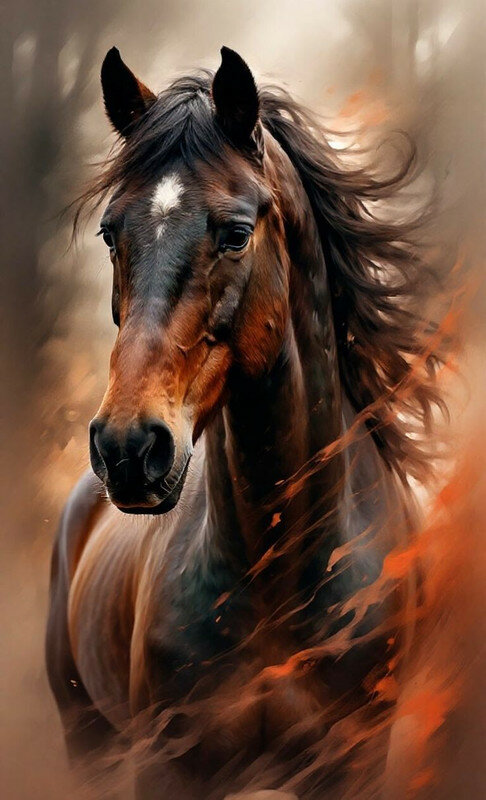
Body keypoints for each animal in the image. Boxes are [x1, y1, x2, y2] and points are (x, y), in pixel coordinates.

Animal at [46, 46, 443, 799]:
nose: (127, 448)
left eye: (234, 234)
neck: (277, 576)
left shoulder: (354, 767)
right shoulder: (167, 768)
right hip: (86, 742)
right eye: (111, 233)